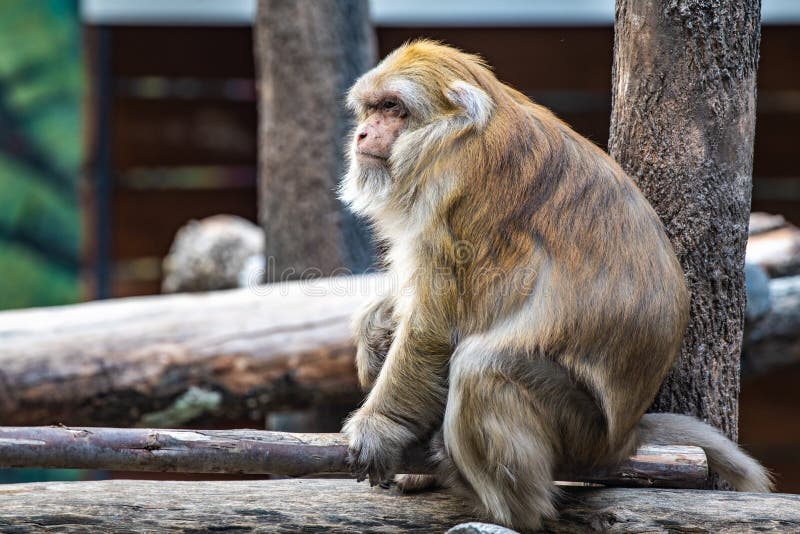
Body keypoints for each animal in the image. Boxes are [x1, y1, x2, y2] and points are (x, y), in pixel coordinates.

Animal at [339, 40, 772, 532]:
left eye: (393, 107)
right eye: (371, 108)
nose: (363, 135)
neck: (455, 134)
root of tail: (626, 437)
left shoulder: (453, 190)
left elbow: (435, 326)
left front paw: (380, 425)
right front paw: (376, 324)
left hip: (582, 431)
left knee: (482, 367)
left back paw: (504, 509)